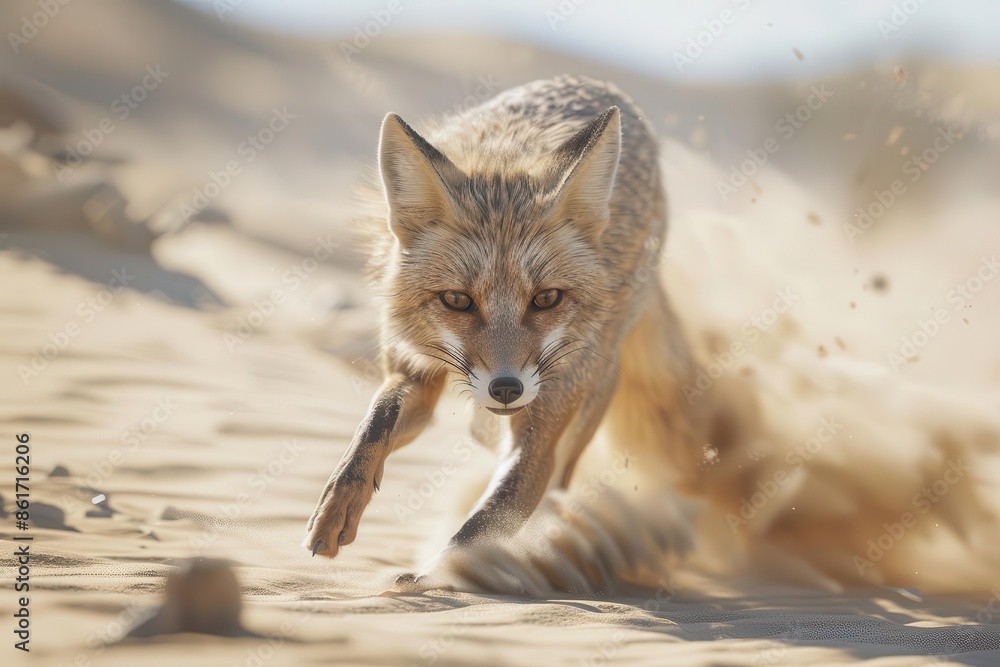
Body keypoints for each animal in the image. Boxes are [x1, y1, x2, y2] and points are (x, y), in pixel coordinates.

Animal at [304, 74, 712, 585]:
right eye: (457, 300)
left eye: (547, 299)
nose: (505, 389)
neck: (505, 159)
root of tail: (595, 82)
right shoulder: (413, 371)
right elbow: (372, 428)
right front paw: (337, 506)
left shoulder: (540, 432)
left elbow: (482, 524)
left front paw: (436, 579)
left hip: (591, 397)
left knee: (559, 482)